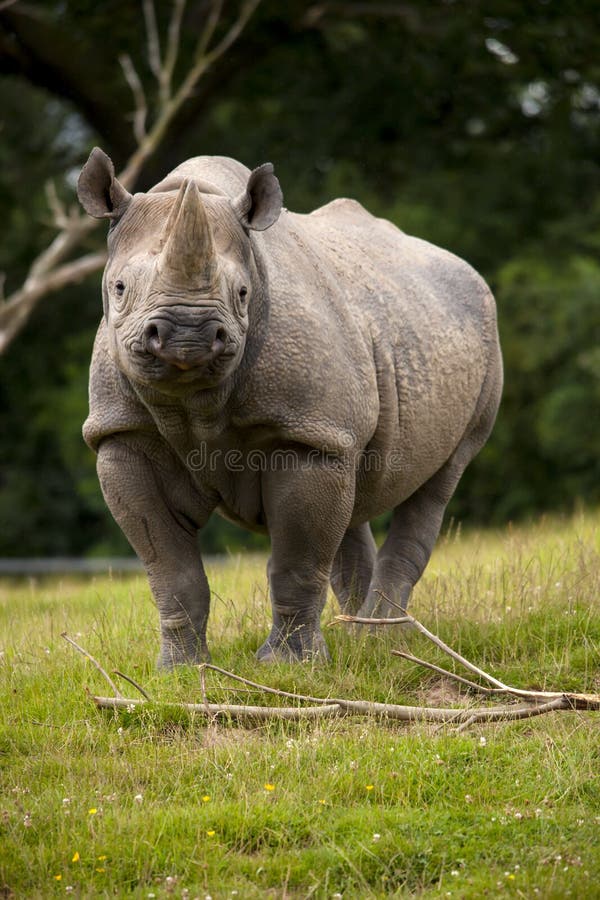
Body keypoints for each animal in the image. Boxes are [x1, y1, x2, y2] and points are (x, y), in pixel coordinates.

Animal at [77, 147, 502, 667]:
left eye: (243, 294)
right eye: (118, 288)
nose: (186, 336)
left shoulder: (305, 431)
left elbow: (296, 556)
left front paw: (288, 665)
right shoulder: (122, 433)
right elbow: (169, 567)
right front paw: (181, 669)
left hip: (481, 334)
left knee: (439, 479)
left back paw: (380, 640)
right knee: (354, 481)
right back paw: (355, 635)